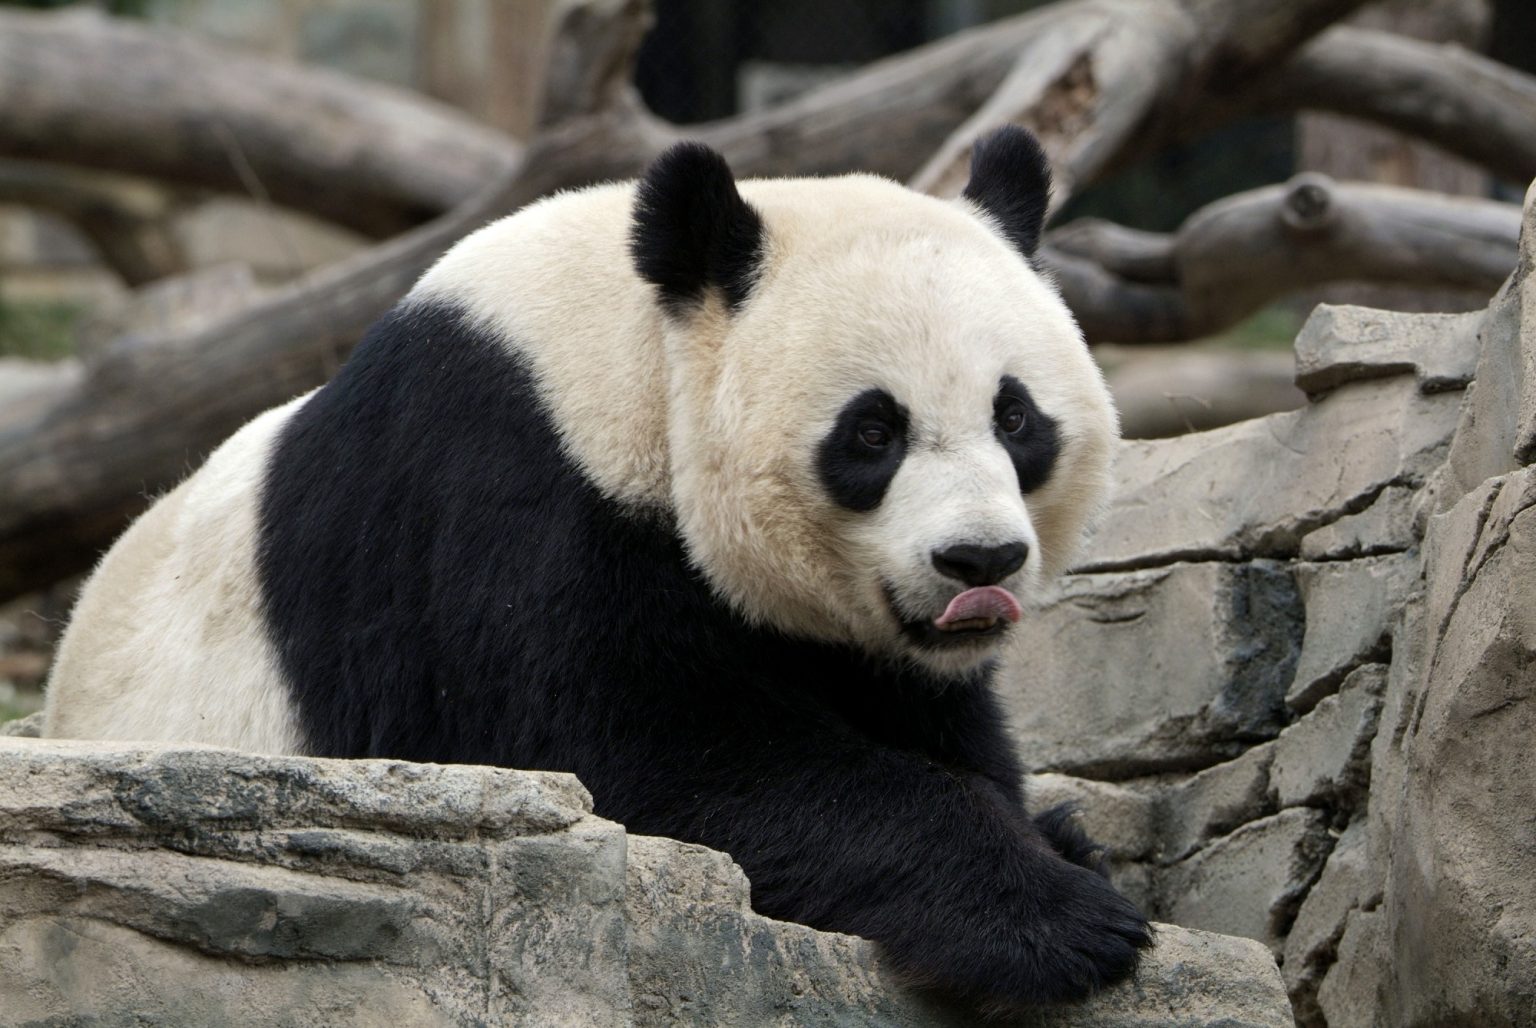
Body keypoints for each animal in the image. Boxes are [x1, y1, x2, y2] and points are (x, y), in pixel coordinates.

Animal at [44, 126, 1148, 1011]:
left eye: (1017, 417)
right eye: (872, 431)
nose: (980, 559)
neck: (630, 356)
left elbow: (925, 715)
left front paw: (1059, 839)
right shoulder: (507, 502)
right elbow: (637, 758)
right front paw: (1060, 918)